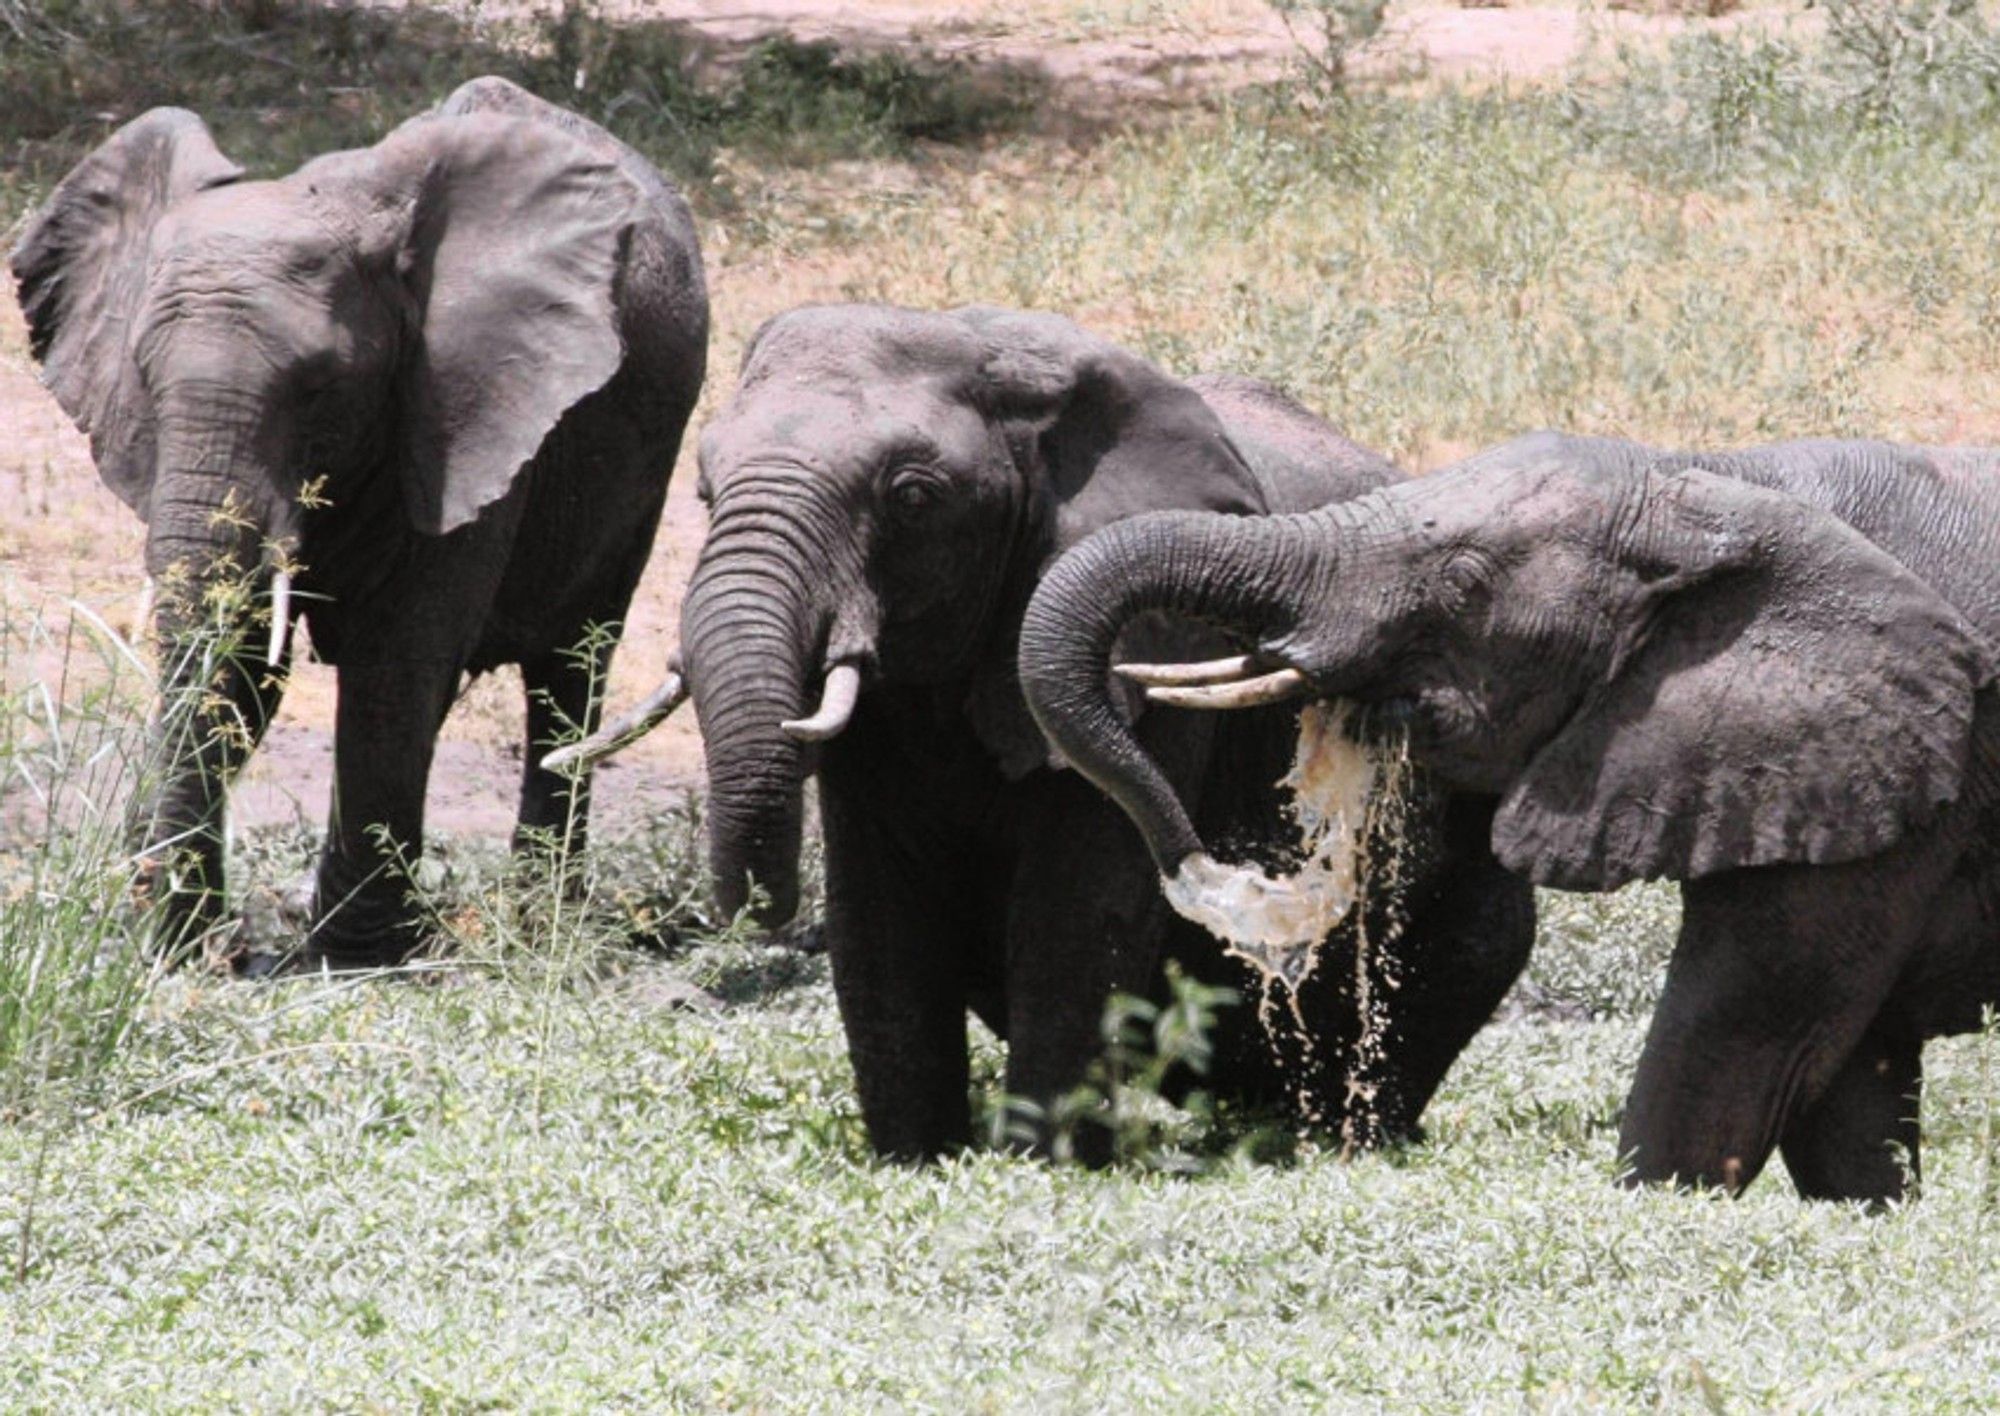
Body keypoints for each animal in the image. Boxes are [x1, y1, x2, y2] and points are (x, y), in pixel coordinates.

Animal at [10, 76, 708, 967]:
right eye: (141, 376)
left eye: (321, 387)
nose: (201, 950)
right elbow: (245, 666)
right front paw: (166, 933)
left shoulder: (462, 407)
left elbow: (395, 659)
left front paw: (358, 954)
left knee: (570, 671)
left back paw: (538, 921)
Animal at [563, 304, 1536, 1160]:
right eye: (703, 489)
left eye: (912, 497)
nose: (1222, 875)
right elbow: (878, 909)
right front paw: (915, 1158)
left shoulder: (1162, 653)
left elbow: (1077, 909)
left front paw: (1039, 1165)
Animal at [1020, 430, 2000, 1202]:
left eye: (1462, 581)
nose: (1203, 871)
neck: (1711, 481)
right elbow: (1848, 1083)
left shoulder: (1901, 759)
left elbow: (1752, 1022)